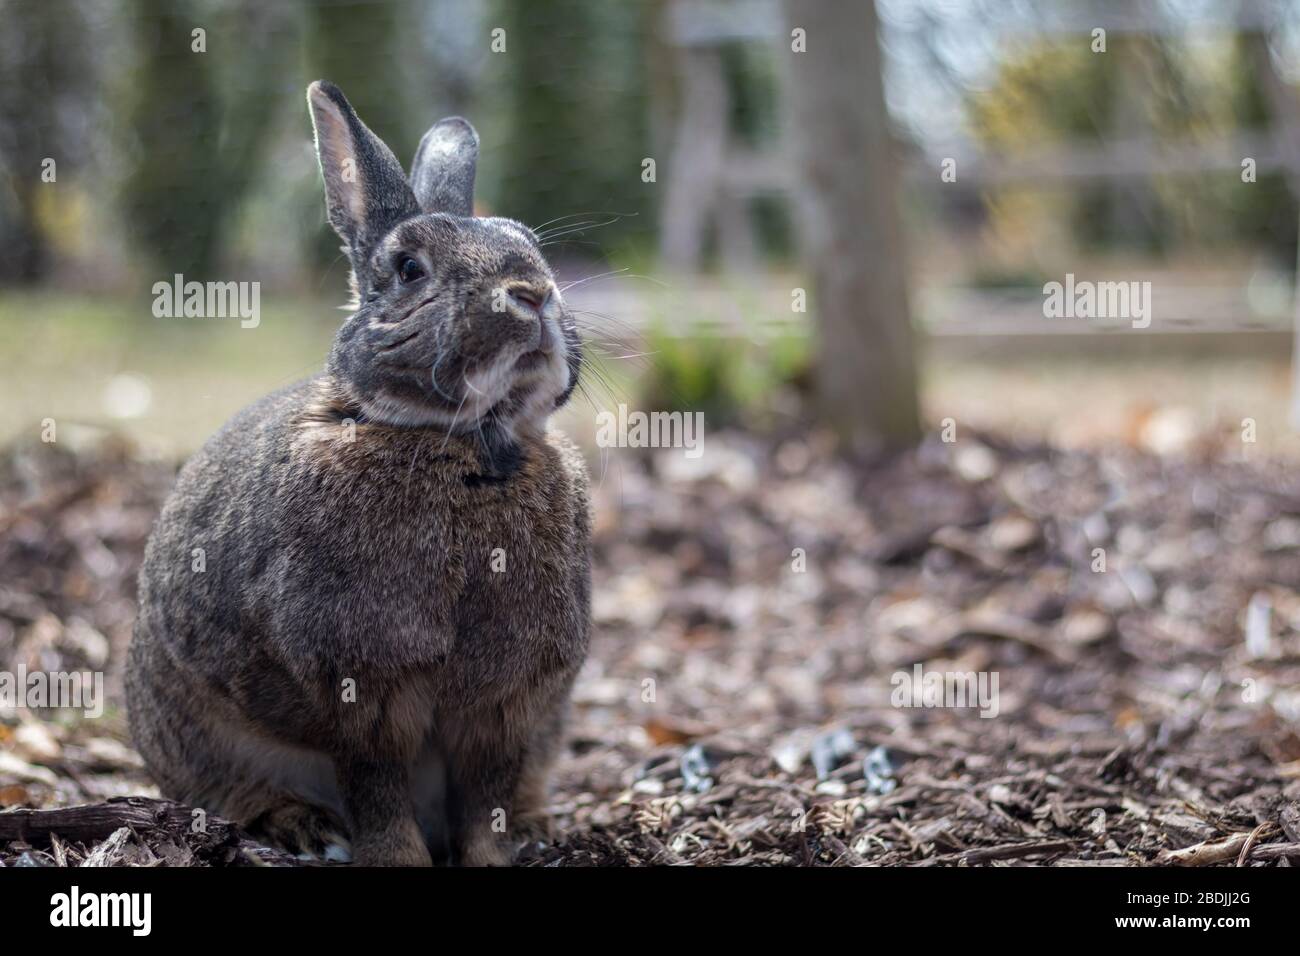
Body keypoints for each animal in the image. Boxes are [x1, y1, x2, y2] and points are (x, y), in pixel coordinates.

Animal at [126, 80, 591, 867]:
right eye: (409, 269)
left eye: (527, 241)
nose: (531, 291)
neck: (463, 442)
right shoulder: (362, 685)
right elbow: (377, 785)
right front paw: (397, 858)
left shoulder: (508, 698)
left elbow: (487, 794)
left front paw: (492, 856)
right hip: (192, 731)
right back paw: (304, 827)